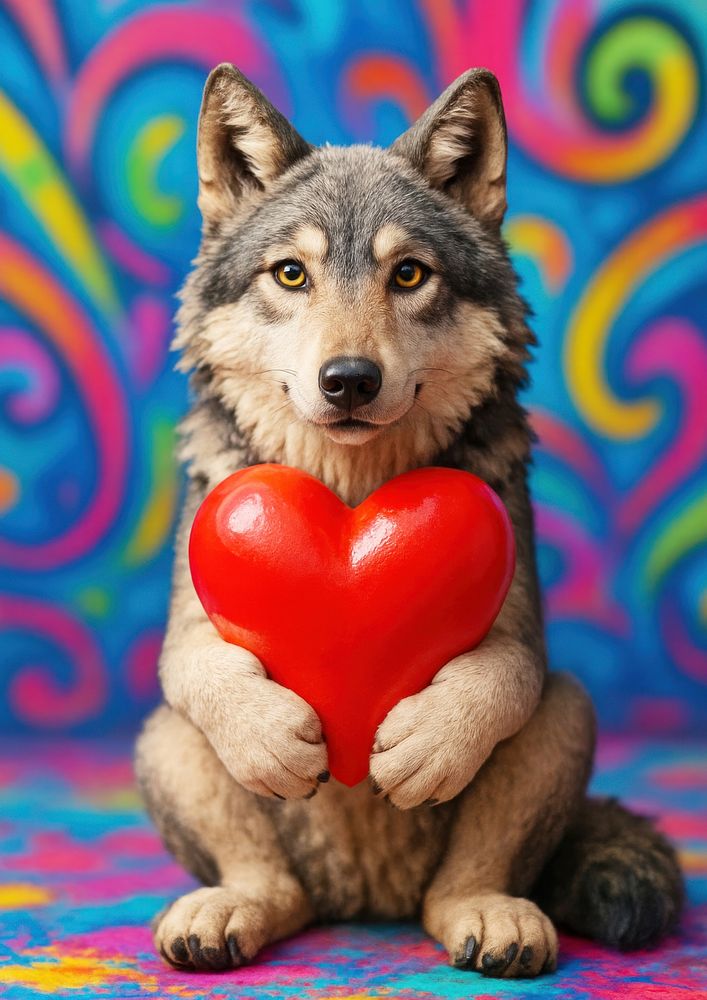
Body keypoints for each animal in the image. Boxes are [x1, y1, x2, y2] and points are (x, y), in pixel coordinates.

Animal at [135, 64, 683, 978]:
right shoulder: (186, 636)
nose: (350, 379)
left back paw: (491, 916)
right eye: (291, 275)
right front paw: (270, 734)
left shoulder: (521, 638)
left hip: (567, 717)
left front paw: (429, 742)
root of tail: (365, 901)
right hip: (162, 741)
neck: (353, 495)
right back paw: (230, 908)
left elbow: (495, 679)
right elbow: (205, 671)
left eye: (409, 276)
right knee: (269, 884)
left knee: (457, 889)